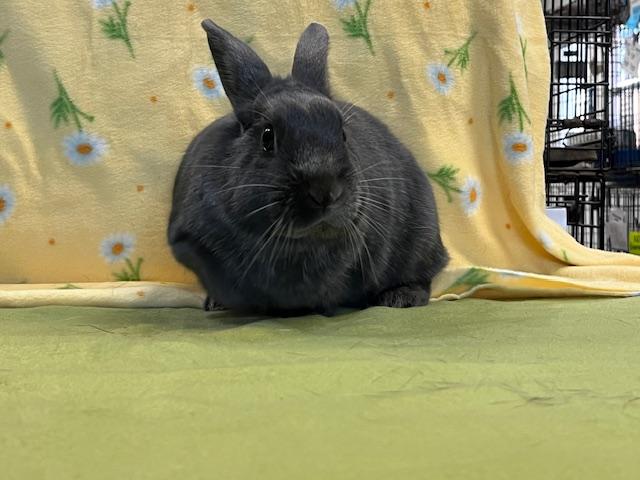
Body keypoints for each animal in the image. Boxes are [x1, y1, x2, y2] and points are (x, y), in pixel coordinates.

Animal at [168, 19, 449, 316]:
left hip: (421, 240)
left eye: (343, 134)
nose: (325, 190)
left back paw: (401, 297)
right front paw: (219, 303)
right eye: (267, 137)